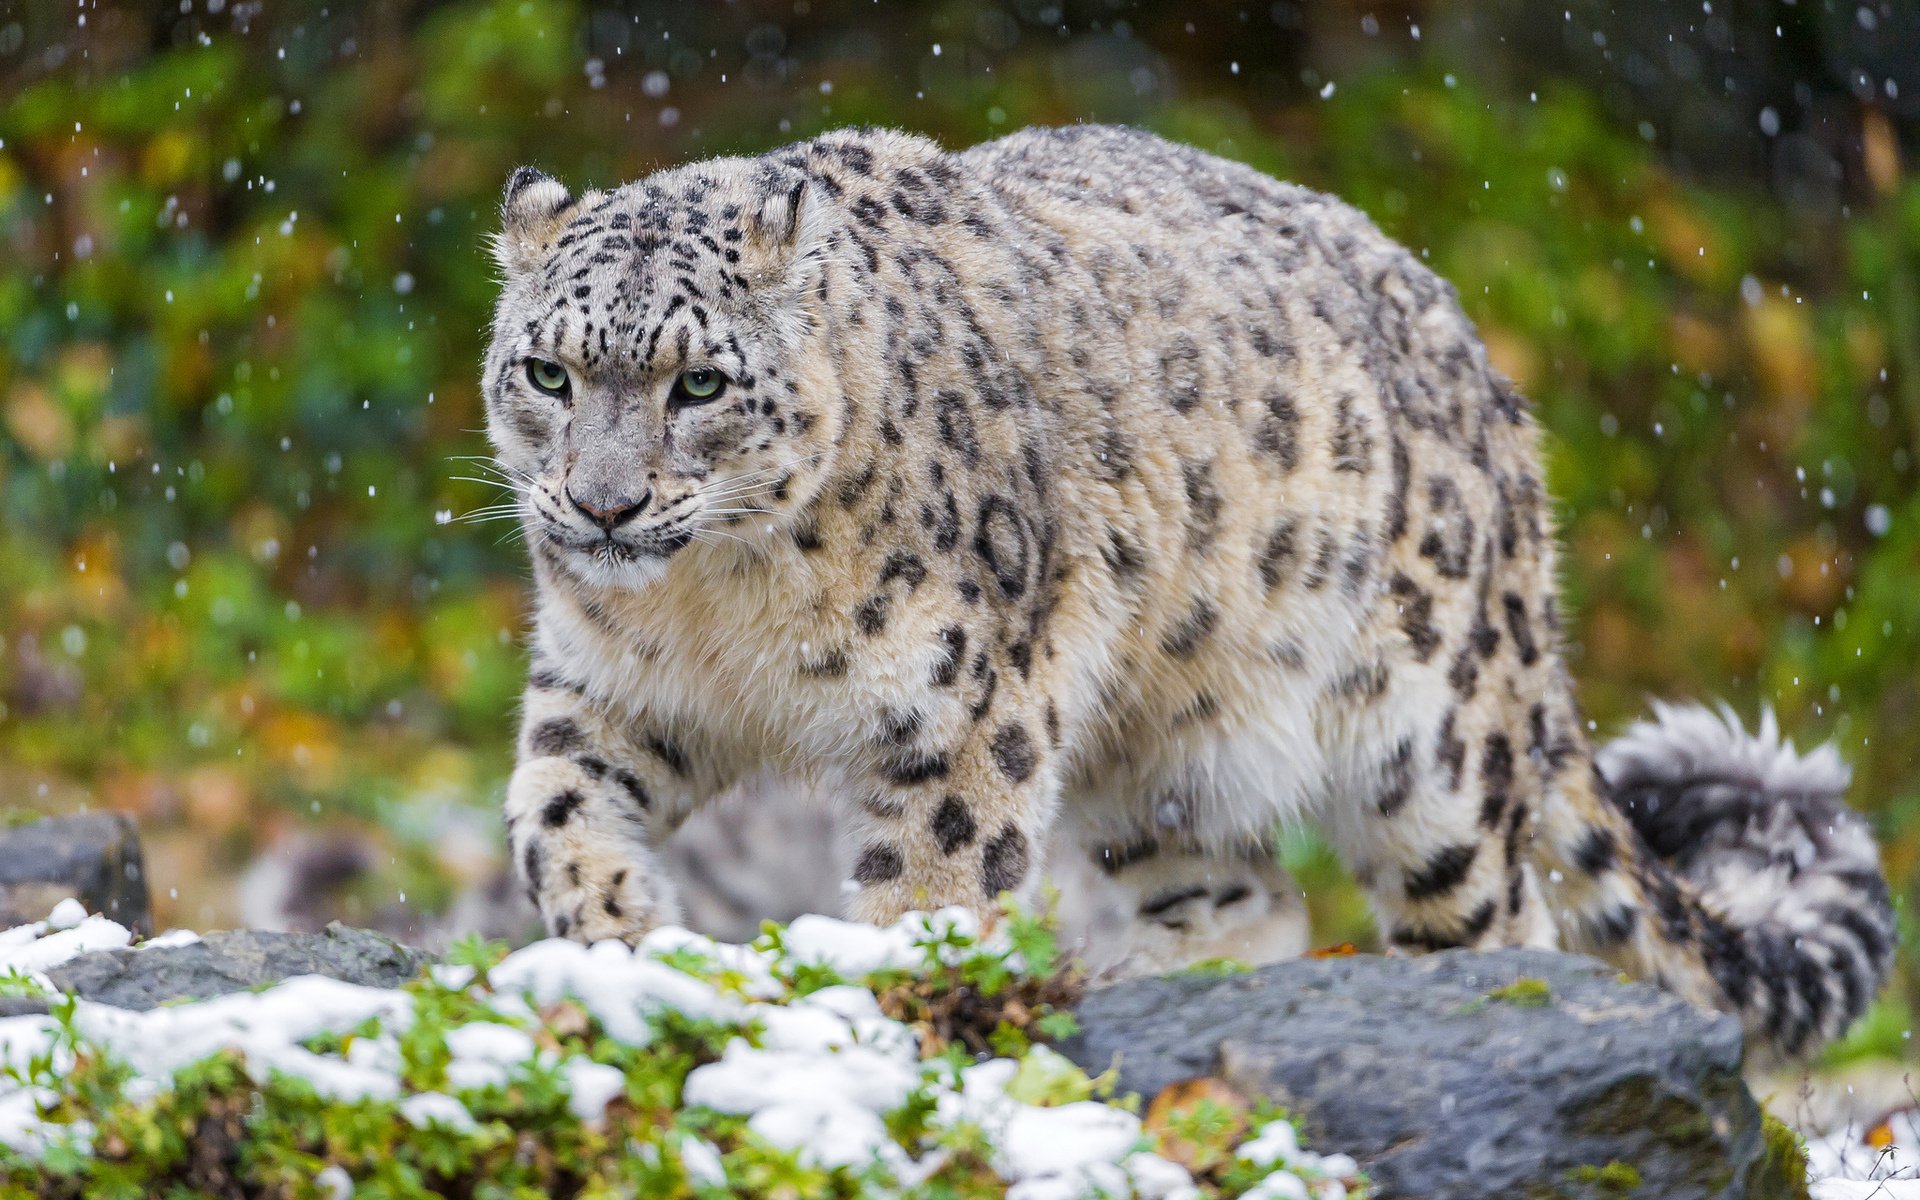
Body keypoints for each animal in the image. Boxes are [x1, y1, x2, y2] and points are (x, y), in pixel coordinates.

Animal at [480, 123, 1893, 1059]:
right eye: (547, 372)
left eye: (699, 383)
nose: (602, 506)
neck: (719, 609)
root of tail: (1496, 396)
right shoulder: (607, 690)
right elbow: (550, 813)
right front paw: (622, 933)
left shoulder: (958, 716)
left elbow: (928, 890)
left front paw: (887, 1006)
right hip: (1160, 747)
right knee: (1251, 897)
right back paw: (1136, 979)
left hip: (1434, 750)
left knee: (1507, 913)